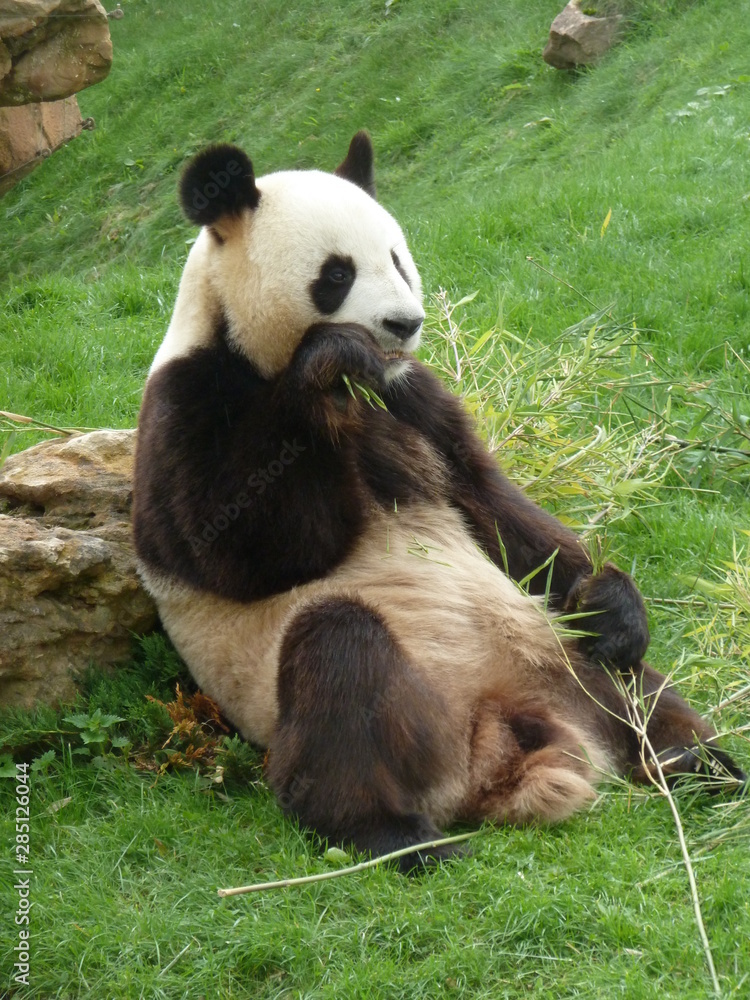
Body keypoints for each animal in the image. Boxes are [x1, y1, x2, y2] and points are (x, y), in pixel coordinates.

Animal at [132, 131, 746, 870]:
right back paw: (395, 836)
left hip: (556, 659)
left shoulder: (412, 395)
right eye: (336, 274)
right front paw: (329, 363)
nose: (404, 323)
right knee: (338, 662)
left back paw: (701, 763)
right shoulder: (190, 401)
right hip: (389, 713)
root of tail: (503, 744)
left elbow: (496, 505)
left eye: (398, 259)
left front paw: (612, 599)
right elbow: (232, 544)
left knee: (635, 689)